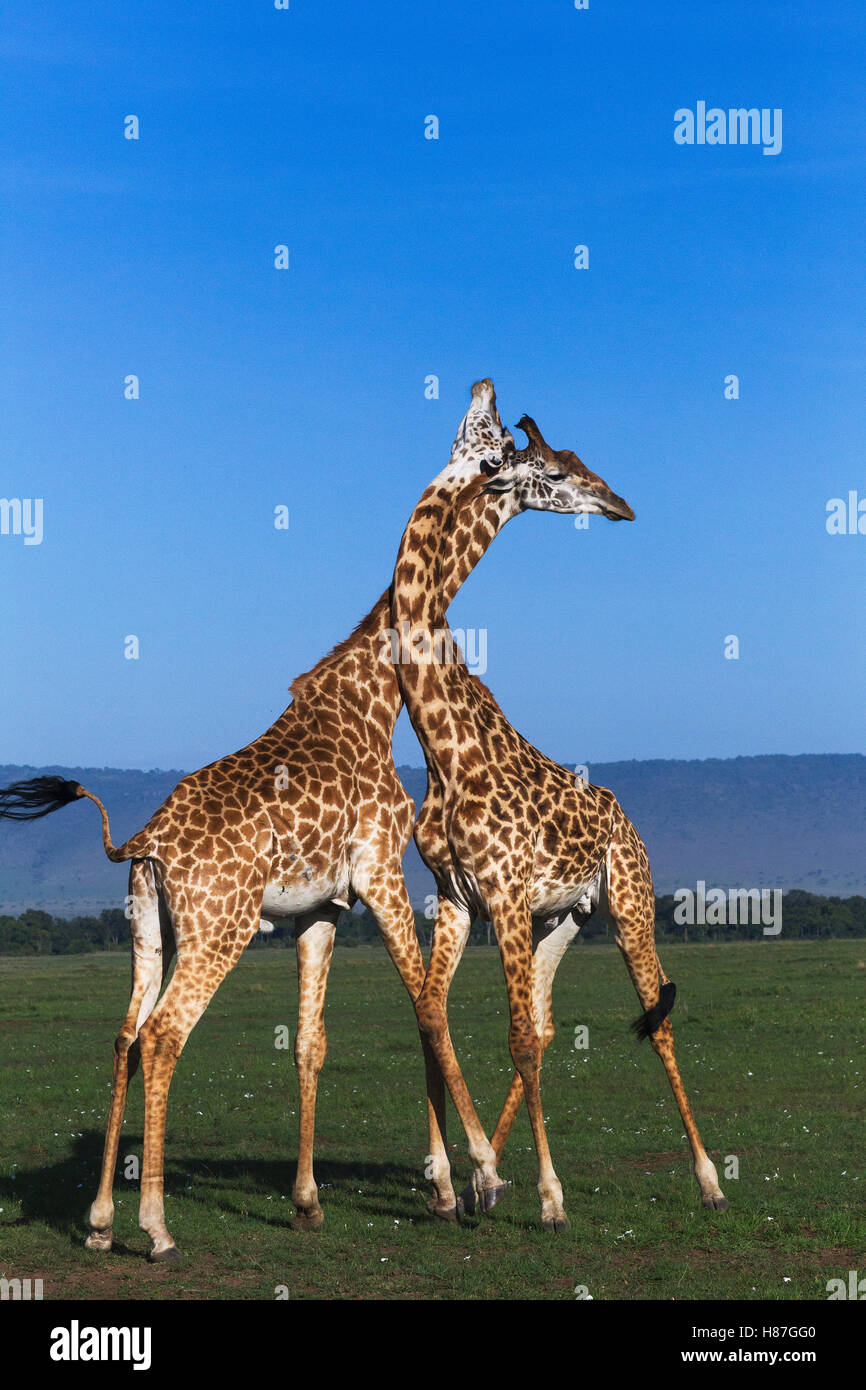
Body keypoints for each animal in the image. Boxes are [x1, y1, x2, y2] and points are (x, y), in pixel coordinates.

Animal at [0, 380, 568, 1258]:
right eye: (511, 448)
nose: (486, 386)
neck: (374, 694)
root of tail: (142, 842)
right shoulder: (380, 869)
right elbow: (427, 1004)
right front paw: (470, 1178)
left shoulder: (321, 907)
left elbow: (312, 1042)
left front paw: (309, 1202)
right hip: (220, 925)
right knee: (164, 1035)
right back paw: (155, 1228)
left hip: (147, 926)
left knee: (126, 1035)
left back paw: (98, 1221)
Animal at [390, 414, 728, 1230]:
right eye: (556, 469)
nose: (619, 503)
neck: (441, 744)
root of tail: (628, 821)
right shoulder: (459, 897)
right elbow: (433, 1015)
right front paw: (459, 1182)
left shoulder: (505, 894)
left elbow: (510, 1036)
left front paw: (547, 1198)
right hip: (564, 918)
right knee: (544, 1027)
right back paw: (487, 1178)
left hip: (628, 902)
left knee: (654, 1020)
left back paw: (708, 1180)